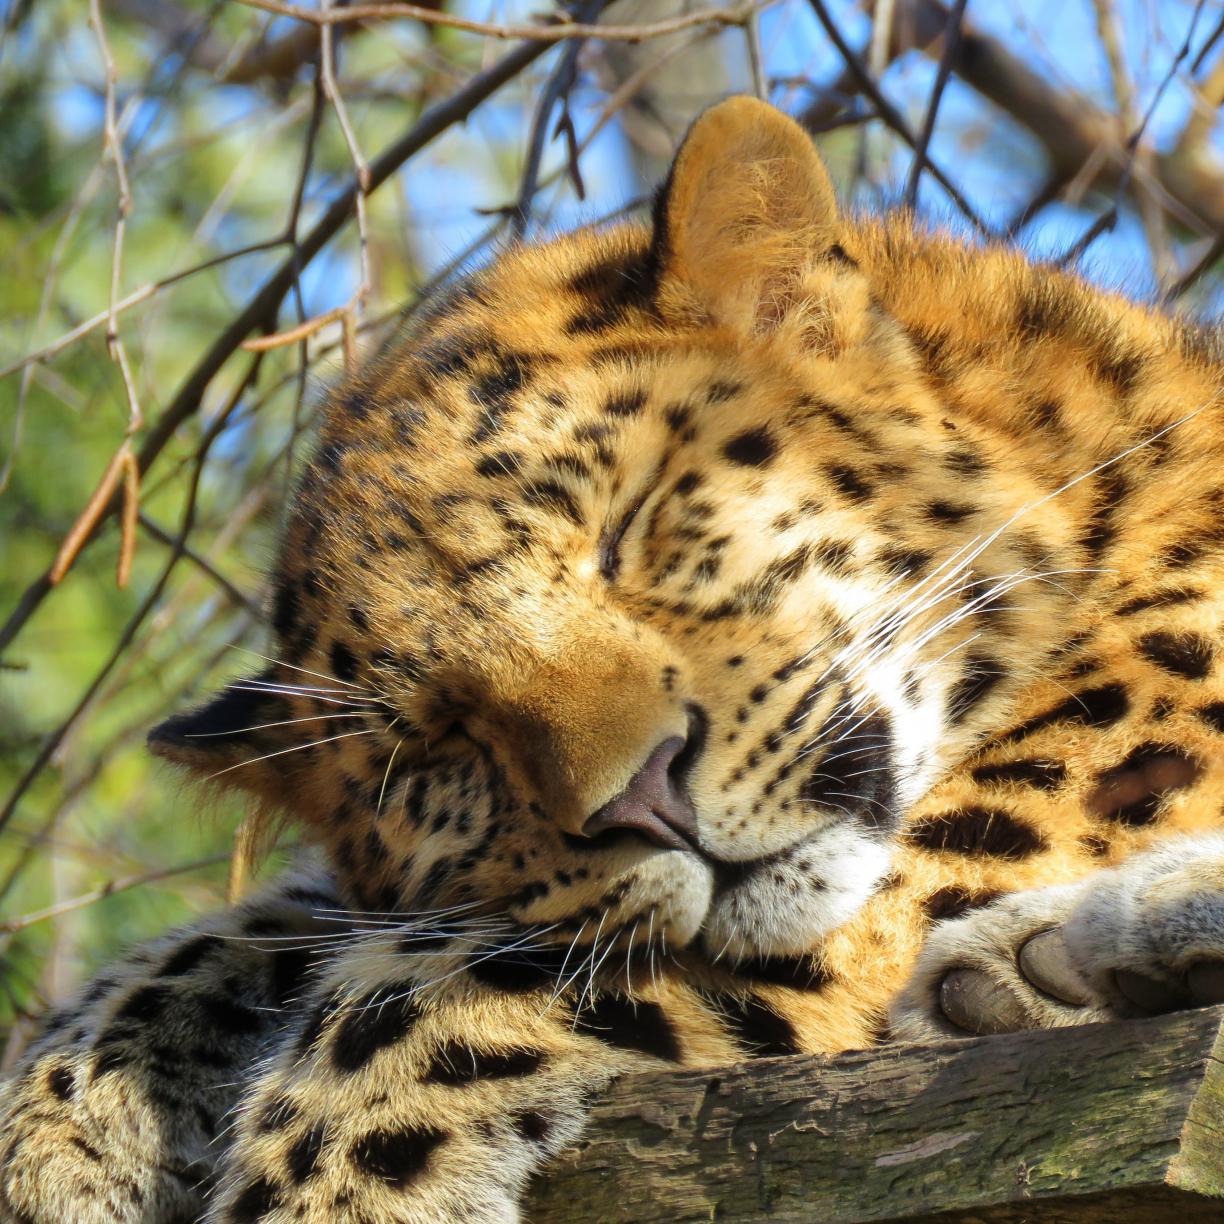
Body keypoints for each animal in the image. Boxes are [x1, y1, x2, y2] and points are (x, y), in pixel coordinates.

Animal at [5, 95, 1224, 1224]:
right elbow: (289, 926)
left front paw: (331, 1185)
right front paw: (64, 1124)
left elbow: (447, 981)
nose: (643, 800)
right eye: (438, 746)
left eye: (626, 530)